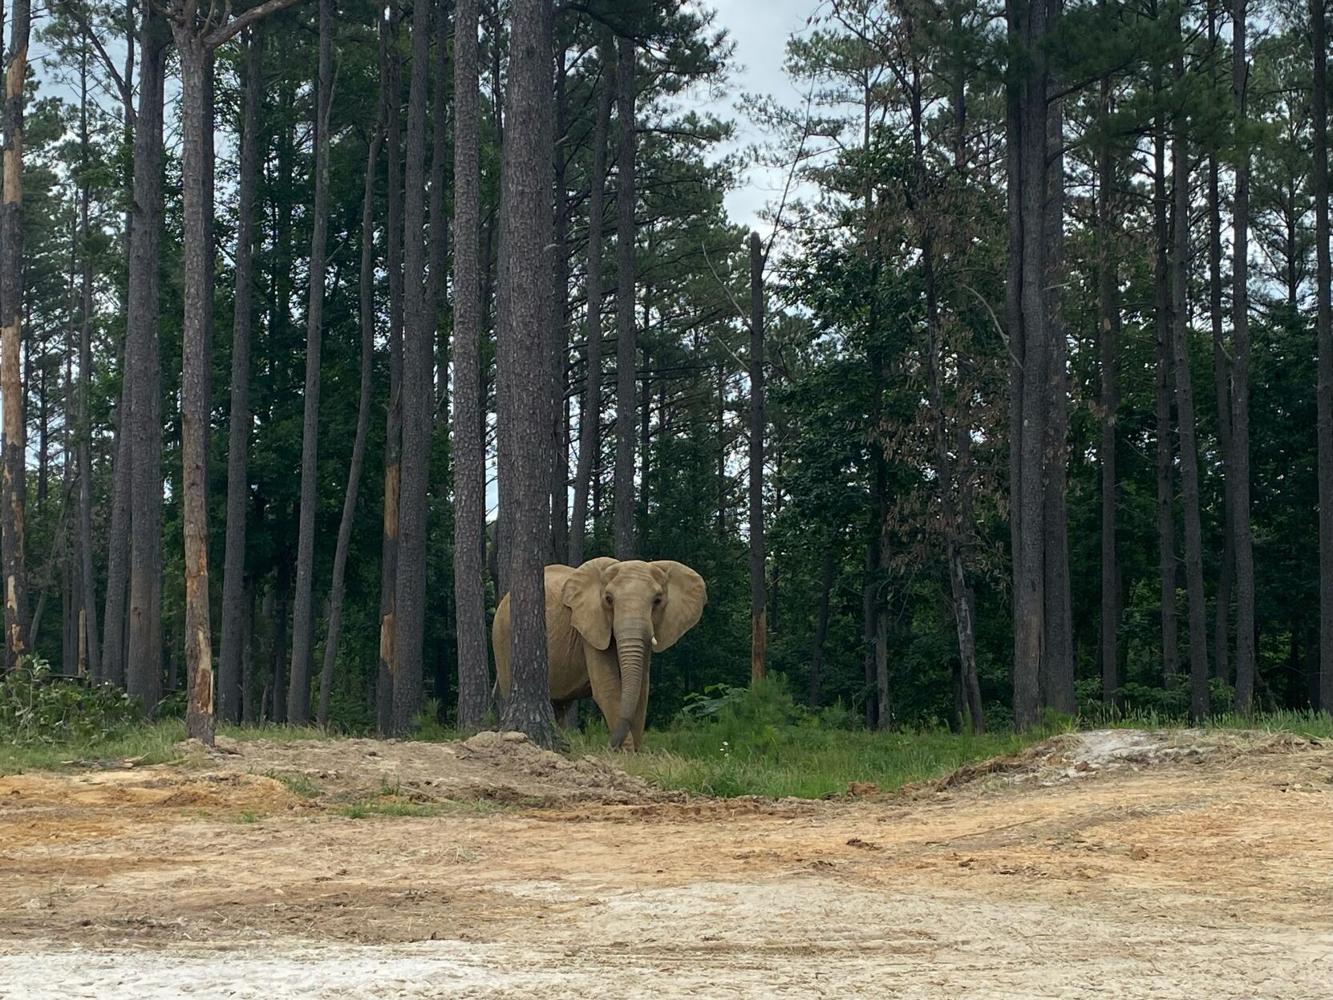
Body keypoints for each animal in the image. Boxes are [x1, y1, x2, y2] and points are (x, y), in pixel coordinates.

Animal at [492, 557, 707, 749]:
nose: (608, 745)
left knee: (561, 705)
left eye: (658, 600)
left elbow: (643, 688)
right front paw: (626, 754)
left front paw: (638, 754)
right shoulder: (590, 626)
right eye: (608, 599)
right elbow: (607, 687)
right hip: (502, 637)